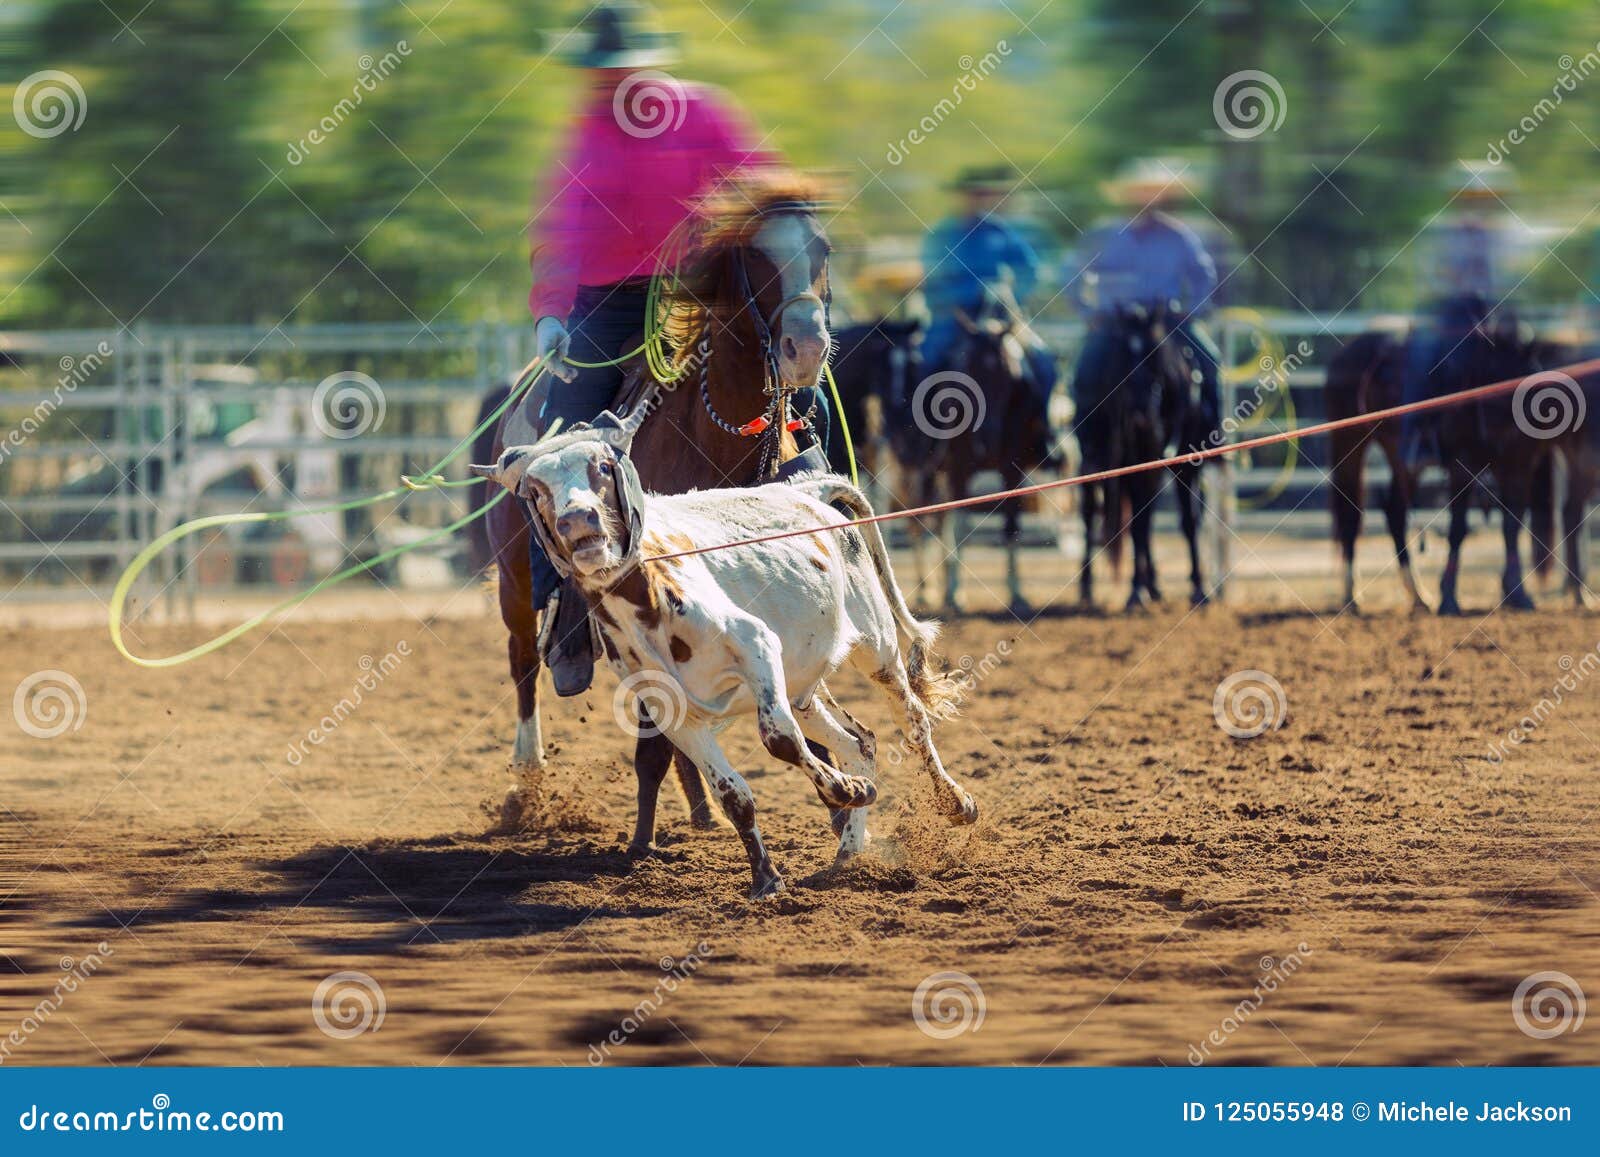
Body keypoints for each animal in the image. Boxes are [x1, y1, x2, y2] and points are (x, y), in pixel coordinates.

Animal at [471, 401, 978, 898]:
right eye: (536, 489)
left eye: (601, 466)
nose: (578, 520)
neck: (648, 599)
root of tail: (810, 493)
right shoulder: (672, 713)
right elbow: (733, 794)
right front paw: (767, 878)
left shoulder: (755, 646)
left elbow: (780, 739)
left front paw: (845, 789)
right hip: (803, 688)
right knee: (860, 741)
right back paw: (849, 854)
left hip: (876, 646)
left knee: (913, 720)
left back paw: (955, 803)